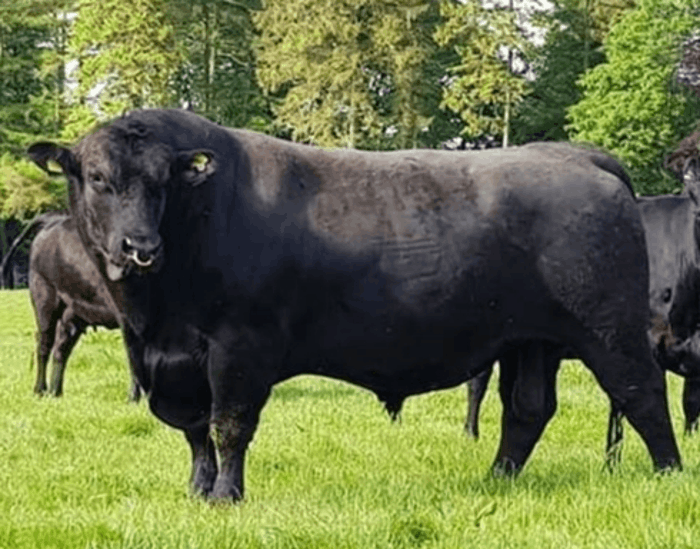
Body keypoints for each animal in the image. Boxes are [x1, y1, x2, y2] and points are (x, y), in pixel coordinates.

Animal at [1, 212, 140, 399]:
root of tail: (53, 219)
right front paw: (134, 398)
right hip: (45, 300)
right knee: (44, 344)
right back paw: (40, 389)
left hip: (72, 313)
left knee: (61, 348)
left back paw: (55, 392)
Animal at [27, 108, 682, 501]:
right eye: (96, 178)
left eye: (163, 182)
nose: (138, 246)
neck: (157, 318)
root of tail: (574, 156)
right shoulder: (174, 361)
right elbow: (194, 433)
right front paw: (197, 490)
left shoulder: (239, 347)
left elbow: (230, 425)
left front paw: (226, 497)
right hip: (531, 340)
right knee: (527, 410)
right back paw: (495, 480)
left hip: (609, 328)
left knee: (643, 394)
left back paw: (670, 475)